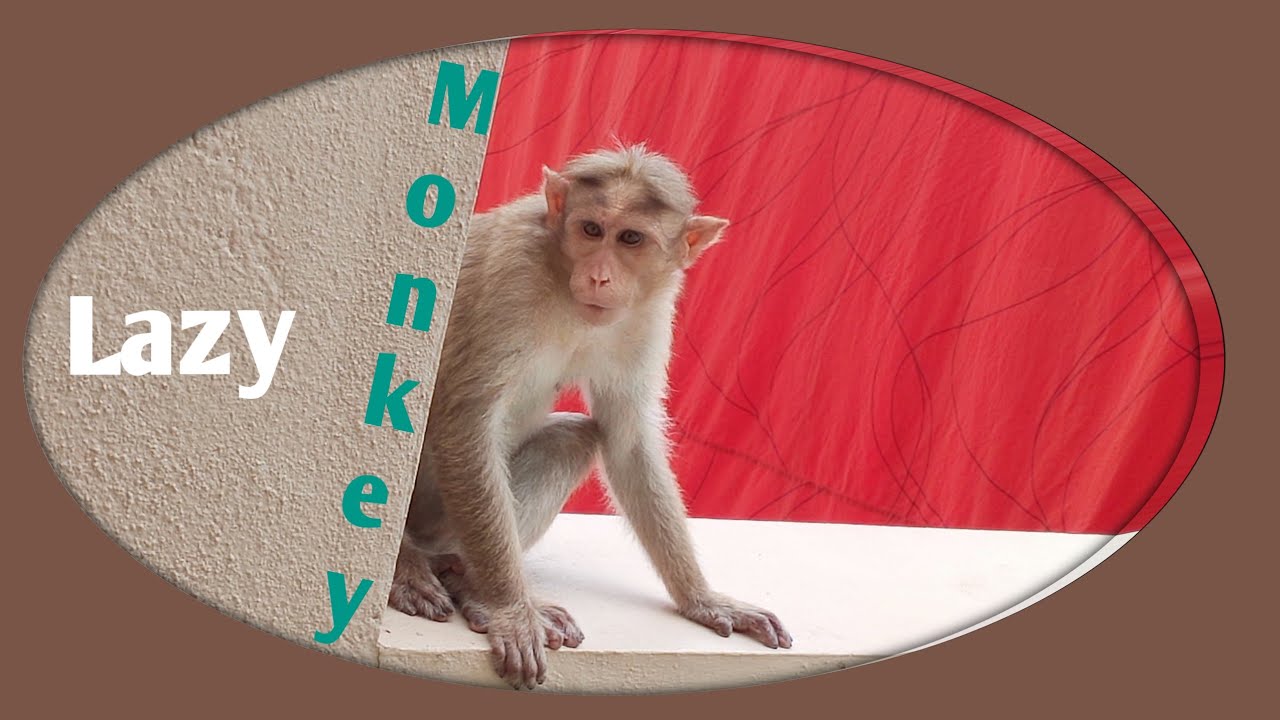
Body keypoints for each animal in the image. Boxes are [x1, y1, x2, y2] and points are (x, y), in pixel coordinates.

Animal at [389, 144, 792, 689]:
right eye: (591, 229)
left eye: (631, 238)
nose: (601, 275)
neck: (563, 285)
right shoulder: (512, 276)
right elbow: (468, 423)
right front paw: (511, 610)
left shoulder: (648, 311)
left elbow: (629, 438)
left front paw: (703, 599)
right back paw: (419, 569)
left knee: (575, 438)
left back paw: (471, 586)